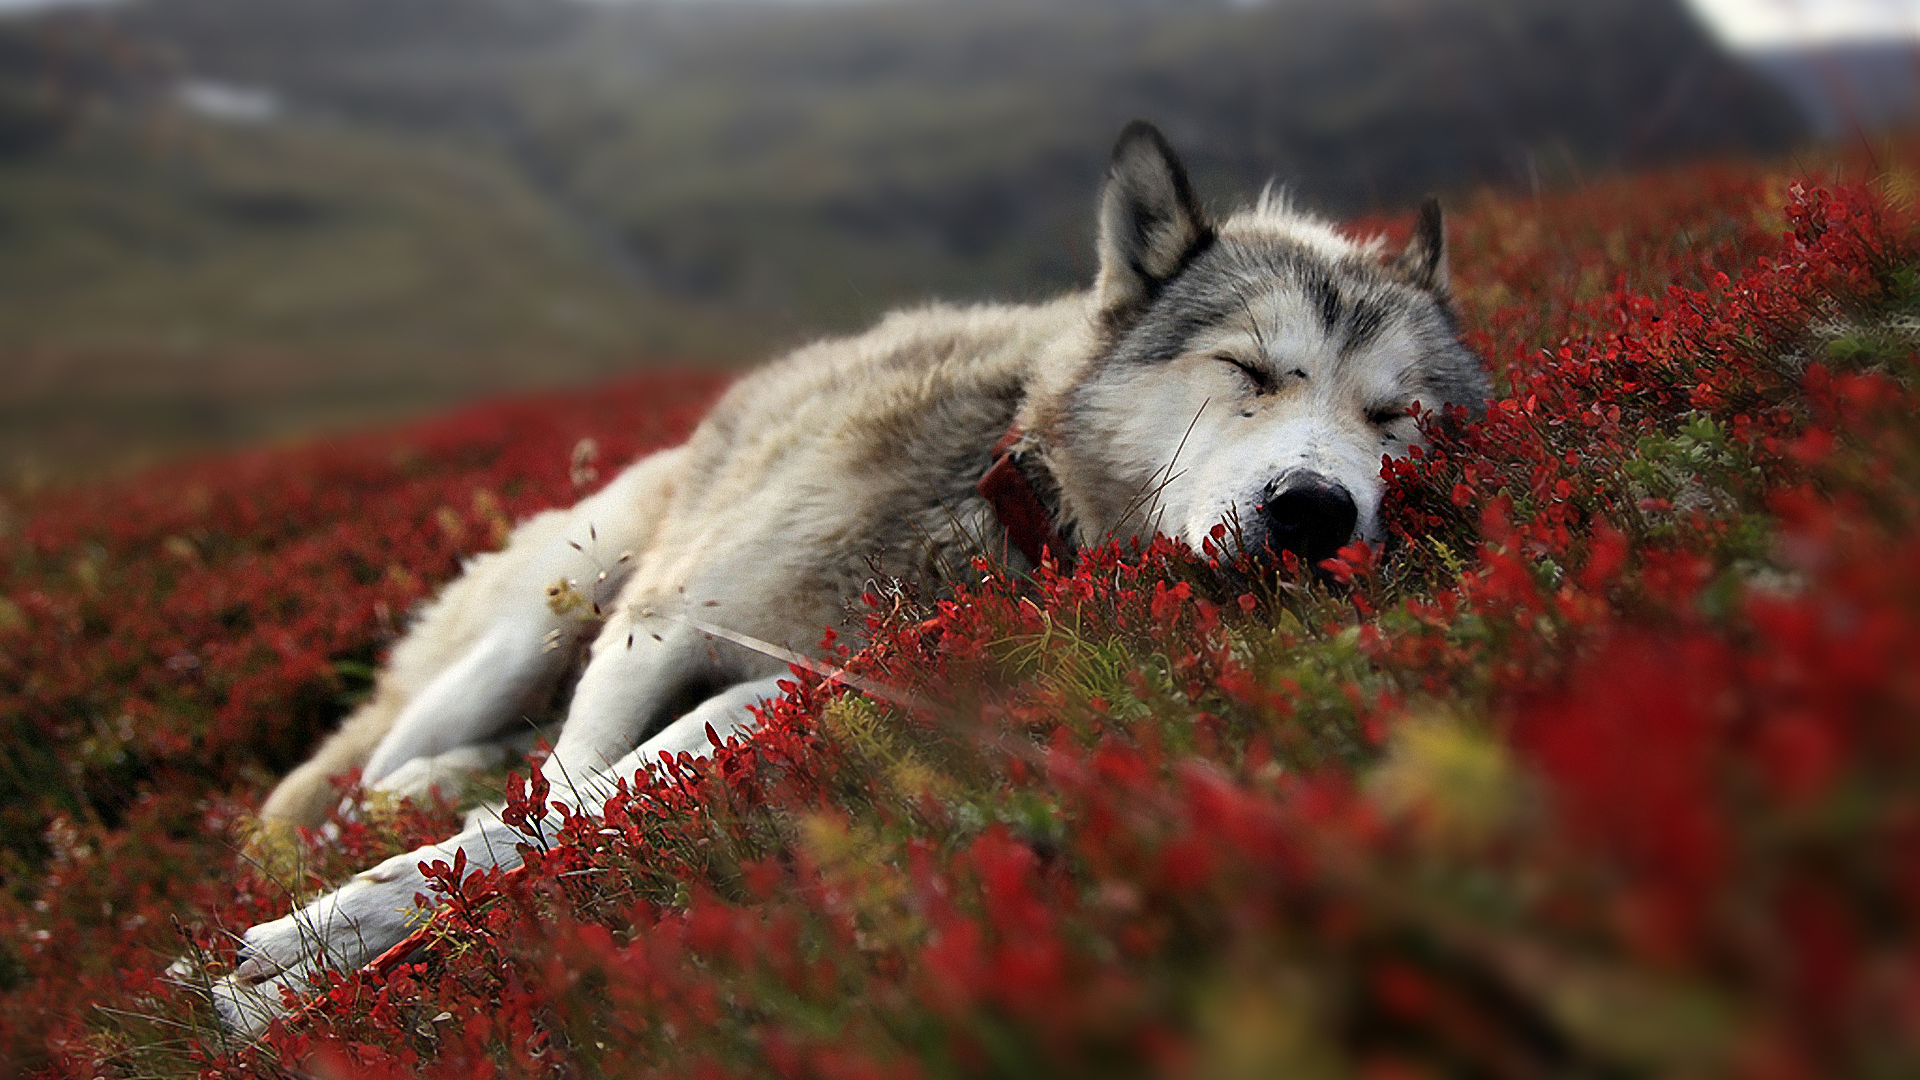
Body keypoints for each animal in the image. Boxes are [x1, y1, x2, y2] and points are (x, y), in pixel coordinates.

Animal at [188, 121, 1488, 1033]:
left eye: (1396, 417)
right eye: (1248, 370)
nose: (1315, 513)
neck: (991, 495)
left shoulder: (792, 688)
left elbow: (576, 810)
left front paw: (314, 964)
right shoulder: (660, 628)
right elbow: (553, 799)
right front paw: (316, 945)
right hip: (551, 614)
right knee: (374, 766)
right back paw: (357, 815)